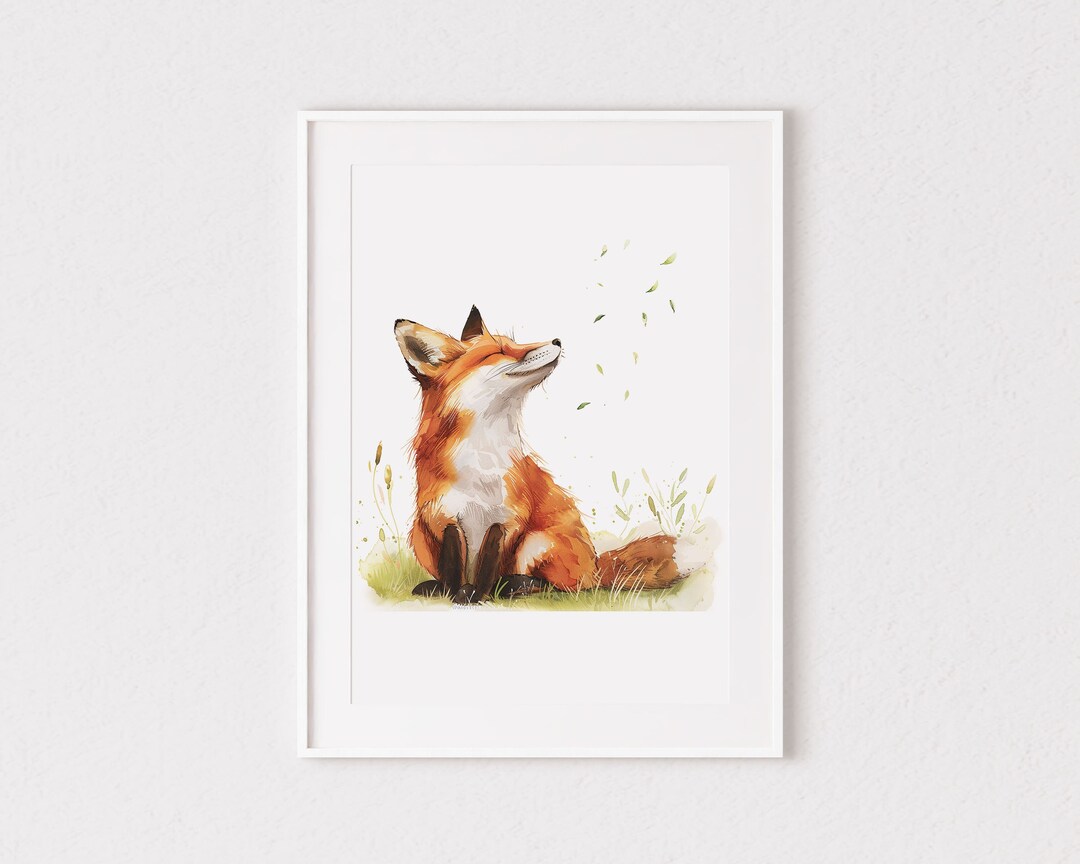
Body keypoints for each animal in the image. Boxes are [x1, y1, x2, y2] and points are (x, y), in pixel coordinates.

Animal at [393, 305, 683, 605]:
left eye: (514, 342)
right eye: (498, 351)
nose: (557, 341)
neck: (481, 462)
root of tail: (595, 565)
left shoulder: (507, 520)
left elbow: (488, 564)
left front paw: (478, 596)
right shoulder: (443, 518)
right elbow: (452, 566)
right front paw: (454, 595)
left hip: (536, 542)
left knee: (564, 587)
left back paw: (512, 587)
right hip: (418, 536)